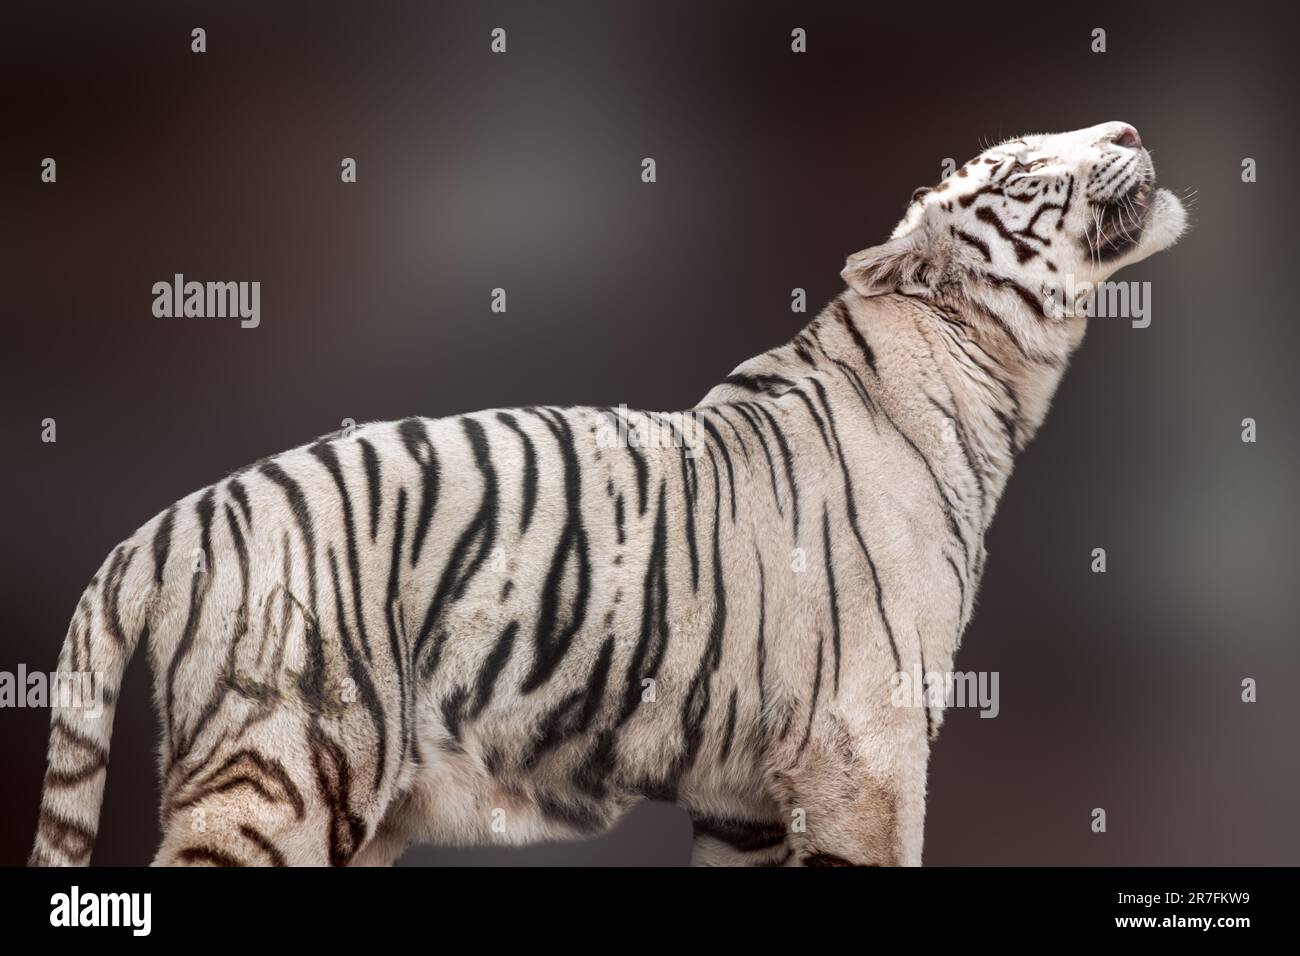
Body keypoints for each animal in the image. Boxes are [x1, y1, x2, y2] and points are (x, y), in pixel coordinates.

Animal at [31, 122, 1186, 867]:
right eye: (1026, 167)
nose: (1128, 120)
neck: (985, 371)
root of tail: (173, 519)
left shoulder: (747, 800)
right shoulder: (871, 751)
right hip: (285, 777)